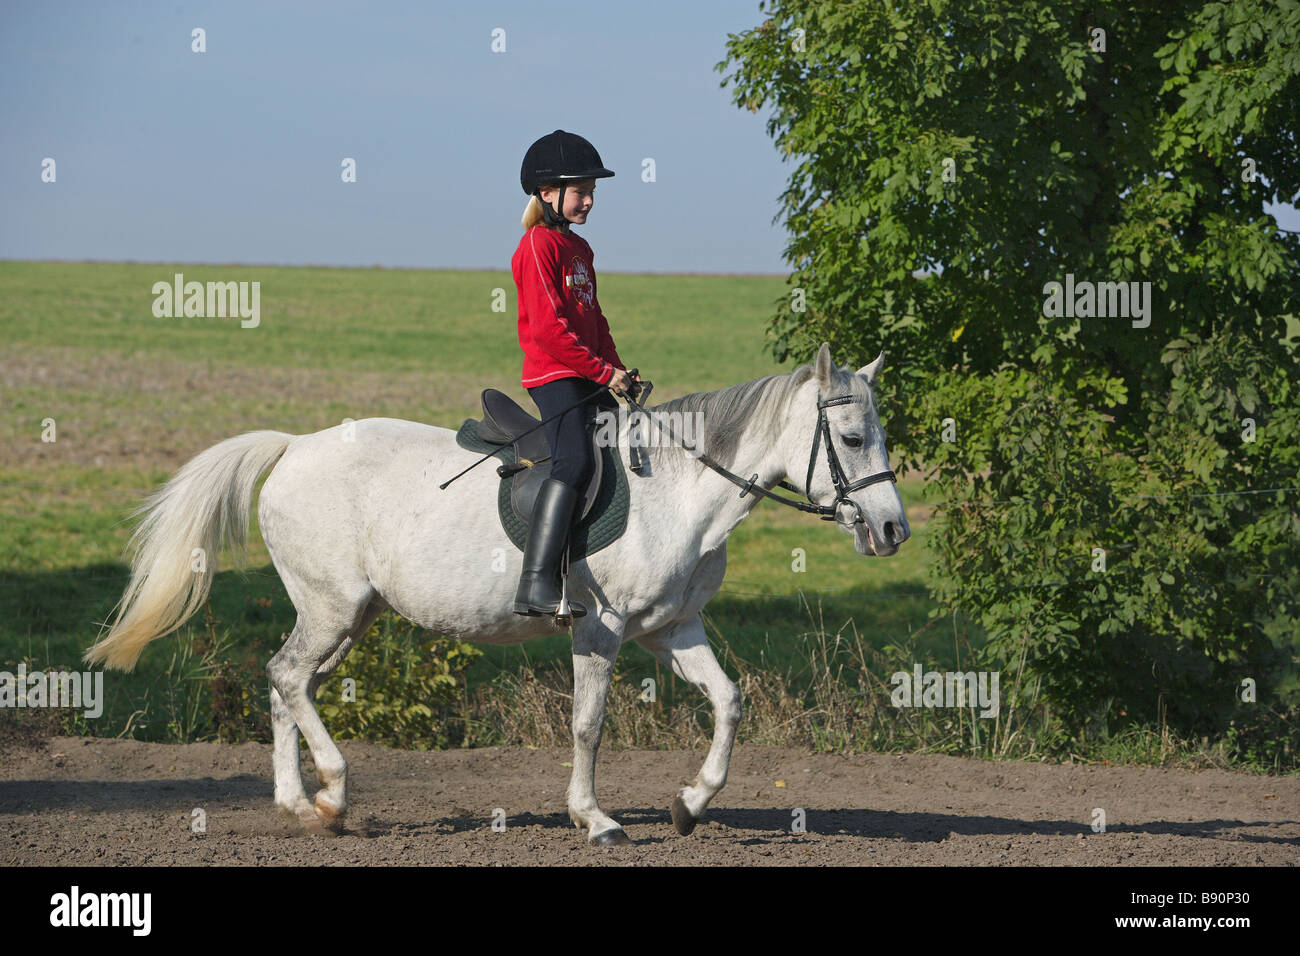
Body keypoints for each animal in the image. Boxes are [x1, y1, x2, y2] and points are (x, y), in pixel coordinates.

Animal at [84, 342, 911, 845]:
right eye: (853, 439)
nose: (893, 529)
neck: (680, 490)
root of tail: (292, 447)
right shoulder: (601, 629)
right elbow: (588, 725)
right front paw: (595, 818)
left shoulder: (672, 629)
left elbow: (730, 701)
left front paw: (690, 802)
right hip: (332, 606)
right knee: (290, 677)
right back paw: (335, 796)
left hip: (347, 615)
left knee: (289, 681)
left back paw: (299, 802)